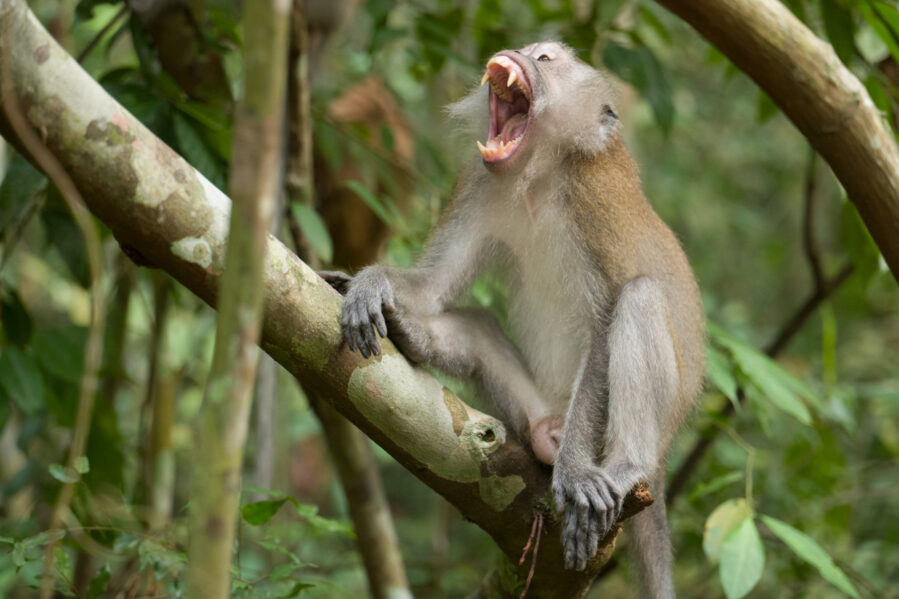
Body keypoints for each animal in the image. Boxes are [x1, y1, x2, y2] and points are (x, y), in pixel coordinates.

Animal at [322, 41, 705, 598]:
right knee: (479, 325)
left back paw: (621, 465)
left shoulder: (593, 198)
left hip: (639, 434)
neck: (538, 176)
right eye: (529, 49)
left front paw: (574, 473)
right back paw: (411, 333)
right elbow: (433, 288)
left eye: (546, 58)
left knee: (641, 298)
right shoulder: (479, 183)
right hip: (535, 408)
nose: (515, 53)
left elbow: (604, 324)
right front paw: (369, 284)